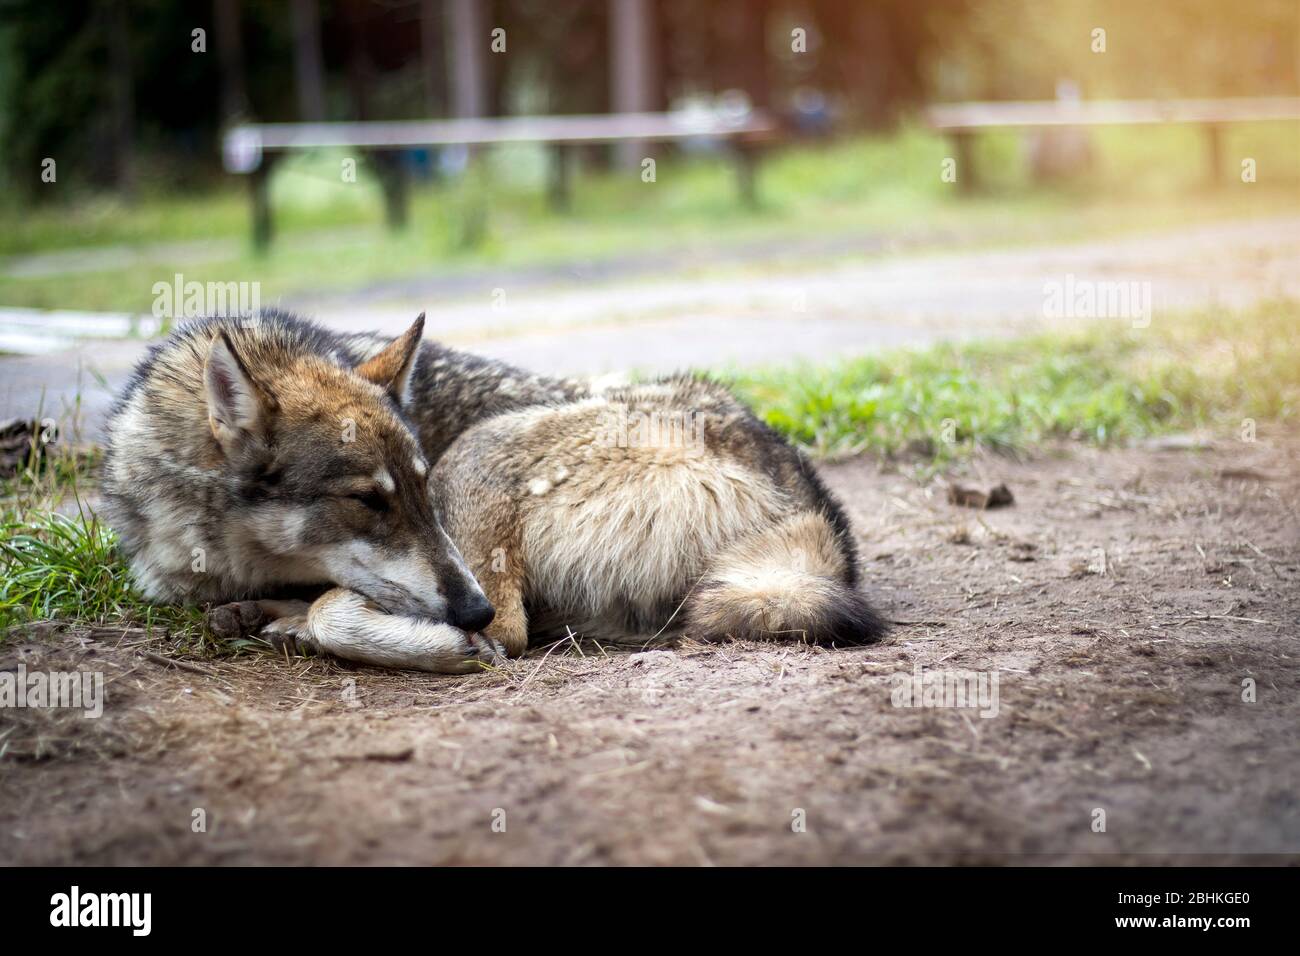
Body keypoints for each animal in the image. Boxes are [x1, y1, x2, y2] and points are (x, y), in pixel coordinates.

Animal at [102, 311, 886, 673]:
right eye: (369, 501)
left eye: (416, 491)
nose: (469, 609)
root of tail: (814, 510)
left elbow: (344, 609)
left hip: (479, 454)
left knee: (503, 630)